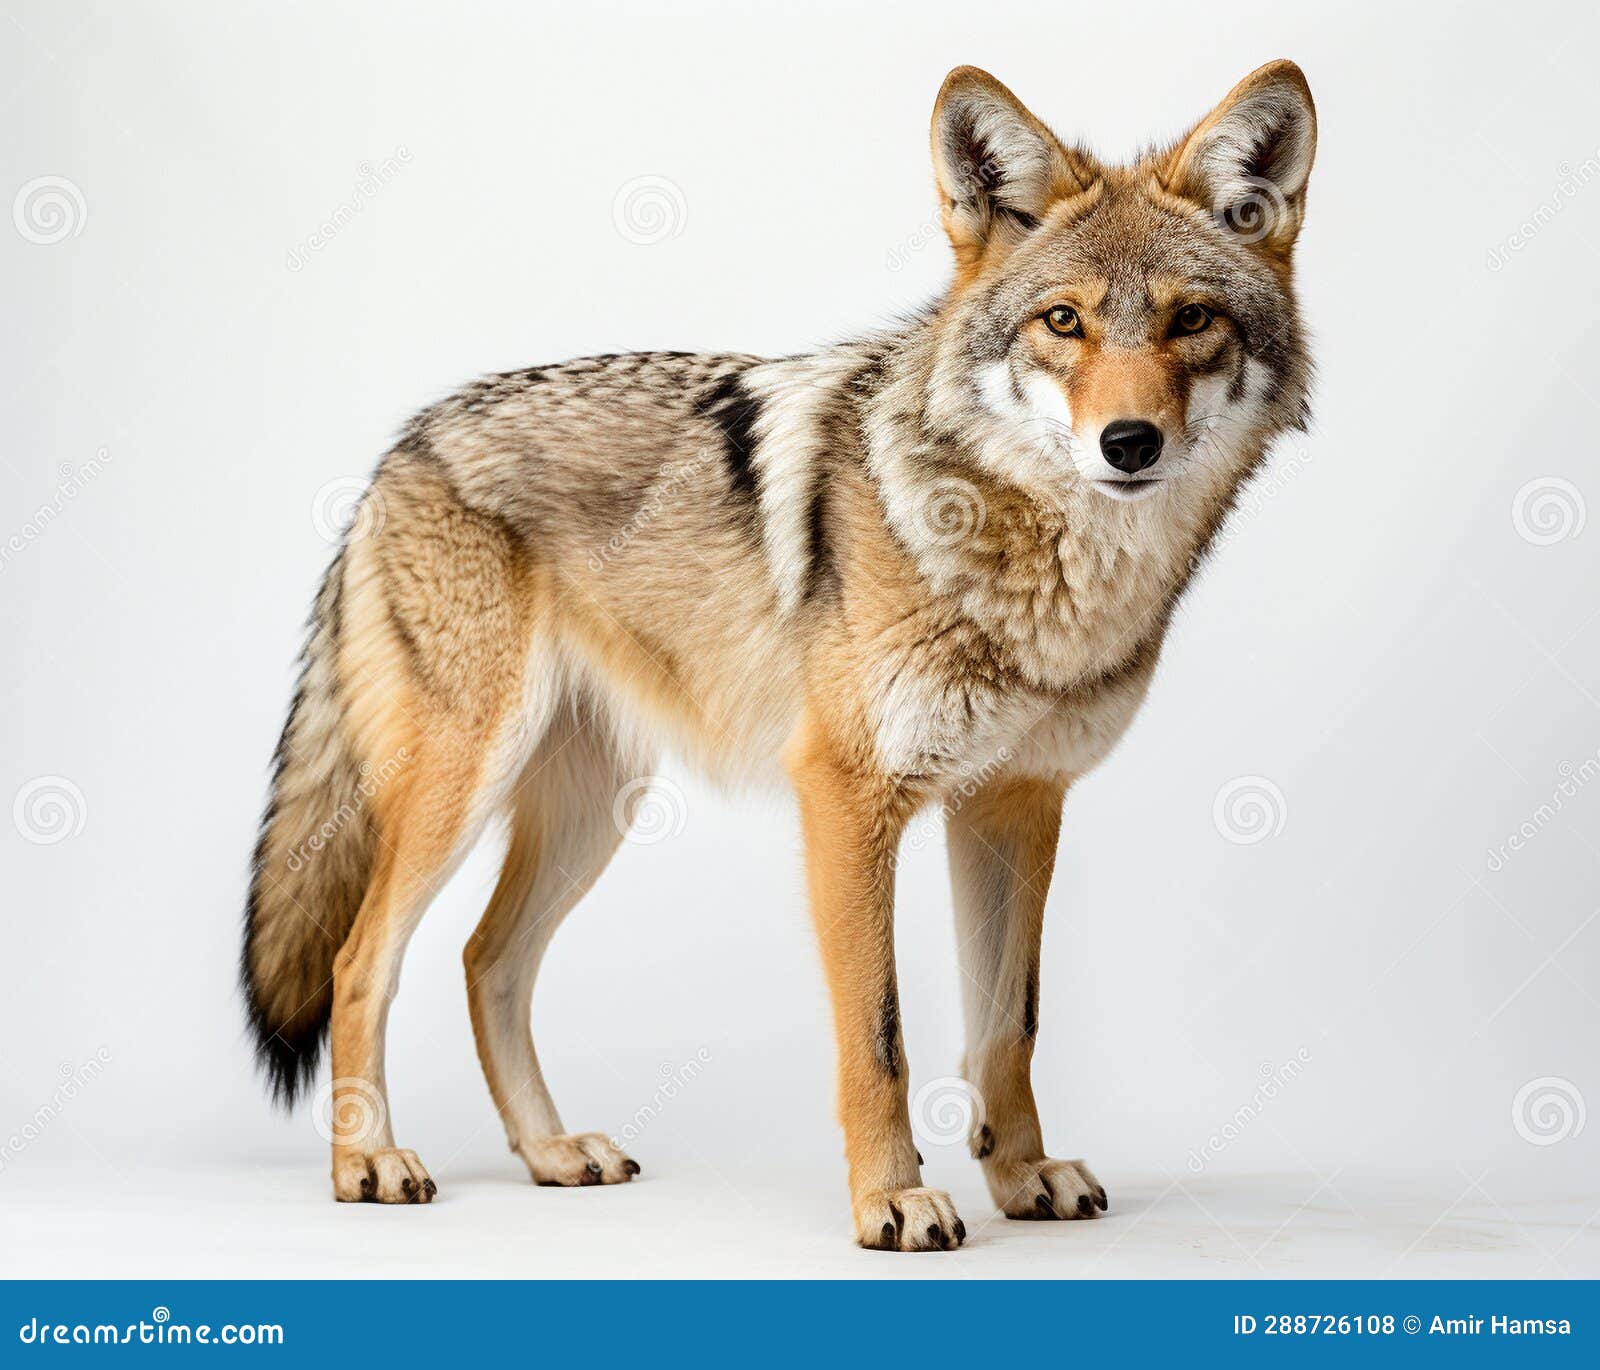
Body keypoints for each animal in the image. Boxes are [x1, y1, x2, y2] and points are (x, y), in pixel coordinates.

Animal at [243, 60, 1315, 1250]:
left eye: (1191, 320)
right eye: (1063, 322)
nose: (1127, 444)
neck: (1039, 580)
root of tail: (402, 444)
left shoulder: (1015, 804)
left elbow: (1009, 1026)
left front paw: (1022, 1175)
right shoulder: (848, 799)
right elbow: (879, 1038)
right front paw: (893, 1199)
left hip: (592, 807)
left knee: (488, 960)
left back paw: (553, 1153)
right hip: (462, 784)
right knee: (361, 959)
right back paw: (368, 1162)